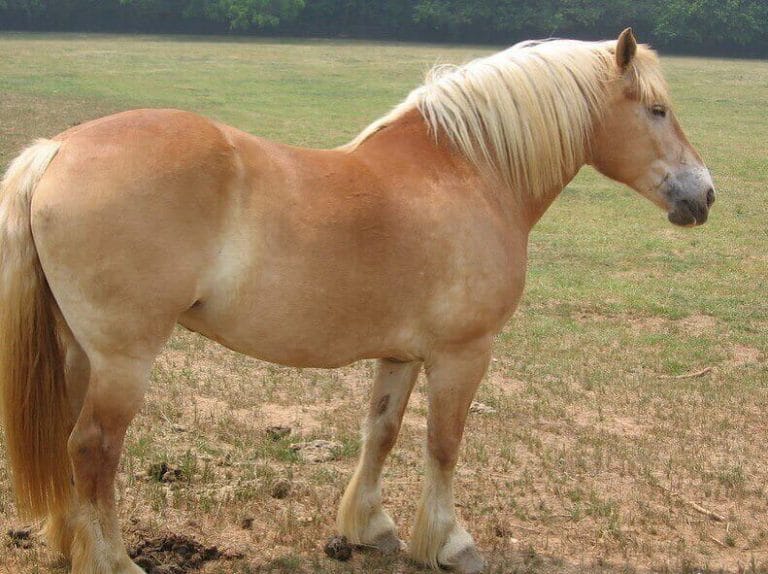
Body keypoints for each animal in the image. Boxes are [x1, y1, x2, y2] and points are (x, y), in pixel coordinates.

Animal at [0, 29, 714, 574]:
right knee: (92, 449)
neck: (468, 171)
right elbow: (443, 445)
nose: (703, 193)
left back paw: (68, 545)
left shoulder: (400, 355)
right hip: (124, 360)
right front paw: (450, 542)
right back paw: (114, 561)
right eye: (656, 109)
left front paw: (370, 527)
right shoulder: (463, 355)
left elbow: (382, 432)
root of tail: (56, 149)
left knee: (65, 439)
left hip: (79, 352)